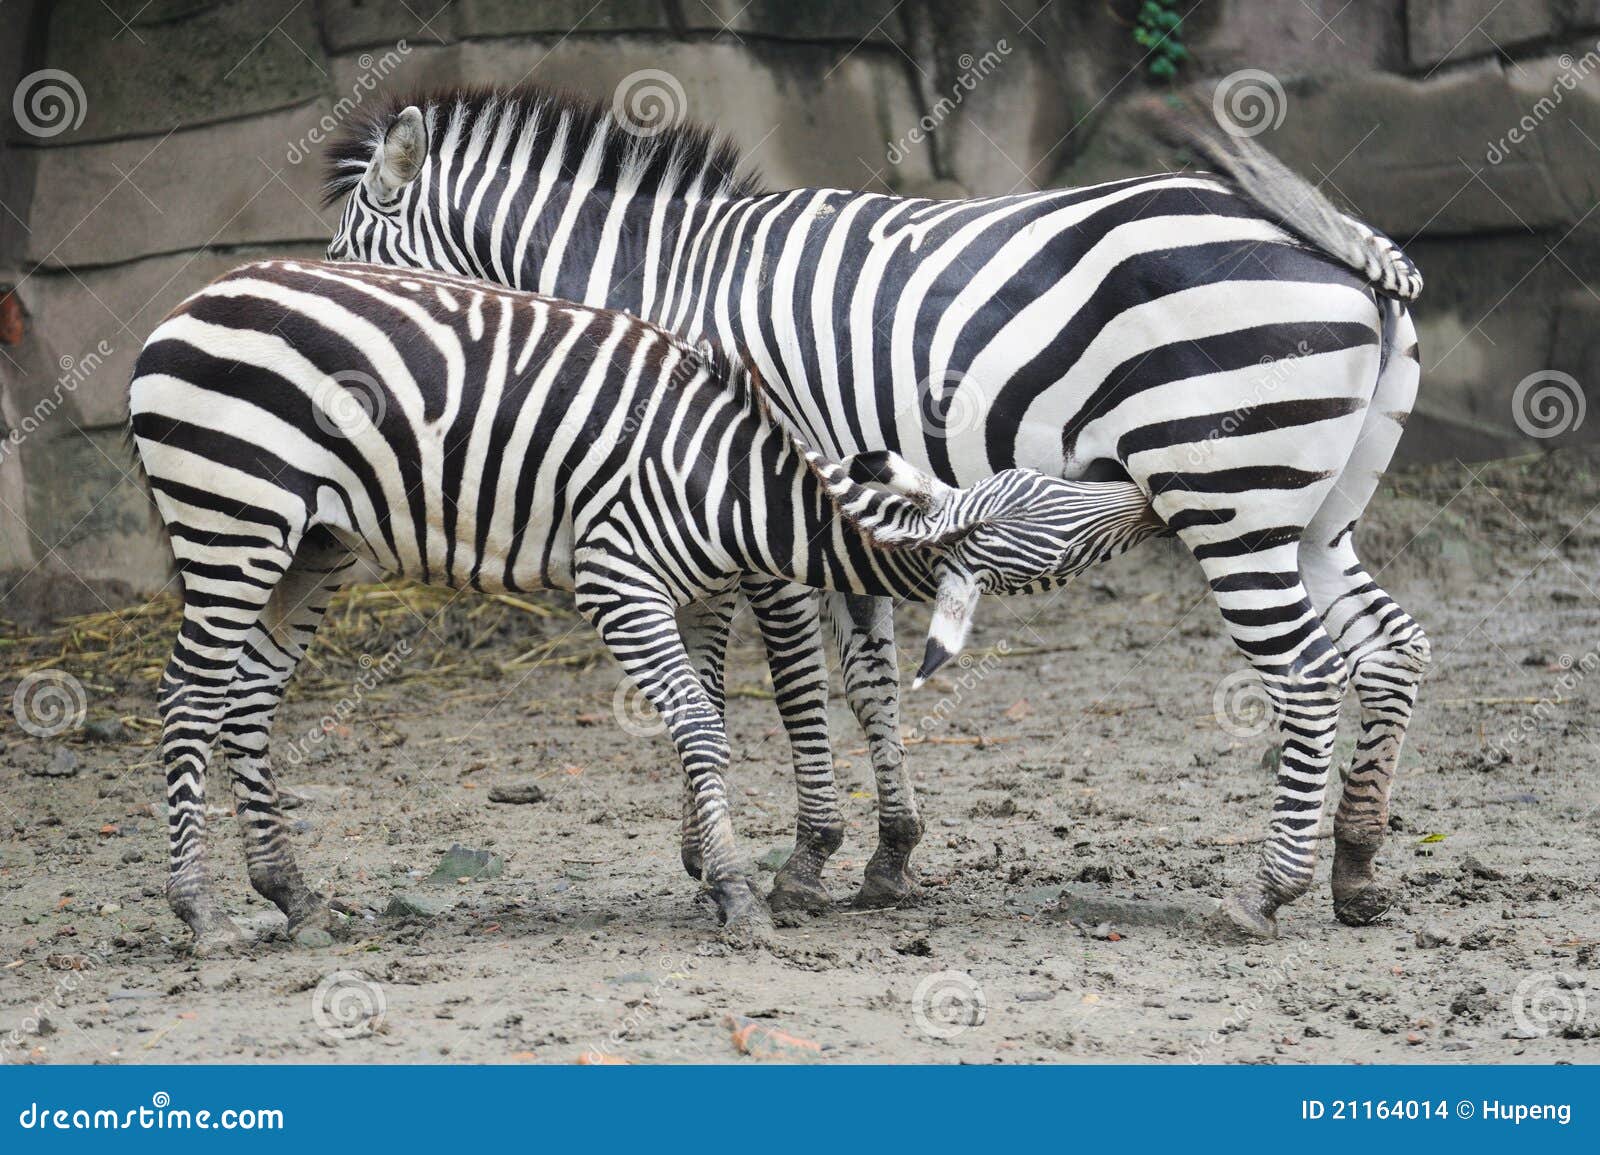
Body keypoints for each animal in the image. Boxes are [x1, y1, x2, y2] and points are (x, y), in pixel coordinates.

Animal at [127, 257, 1164, 949]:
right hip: (234, 517)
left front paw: (707, 870)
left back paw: (294, 898)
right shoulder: (617, 579)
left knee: (247, 705)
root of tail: (190, 301)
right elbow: (704, 727)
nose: (1143, 490)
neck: (732, 488)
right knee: (189, 698)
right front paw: (740, 894)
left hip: (312, 548)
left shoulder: (694, 590)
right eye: (1057, 523)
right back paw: (200, 912)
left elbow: (704, 718)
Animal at [323, 85, 1431, 939]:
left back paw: (1268, 891)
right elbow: (848, 682)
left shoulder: (748, 500)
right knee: (1393, 649)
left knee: (1306, 674)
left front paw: (801, 860)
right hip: (1311, 517)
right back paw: (1356, 868)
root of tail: (1346, 252)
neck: (665, 289)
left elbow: (792, 684)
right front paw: (870, 856)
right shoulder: (751, 506)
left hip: (1227, 501)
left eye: (347, 260)